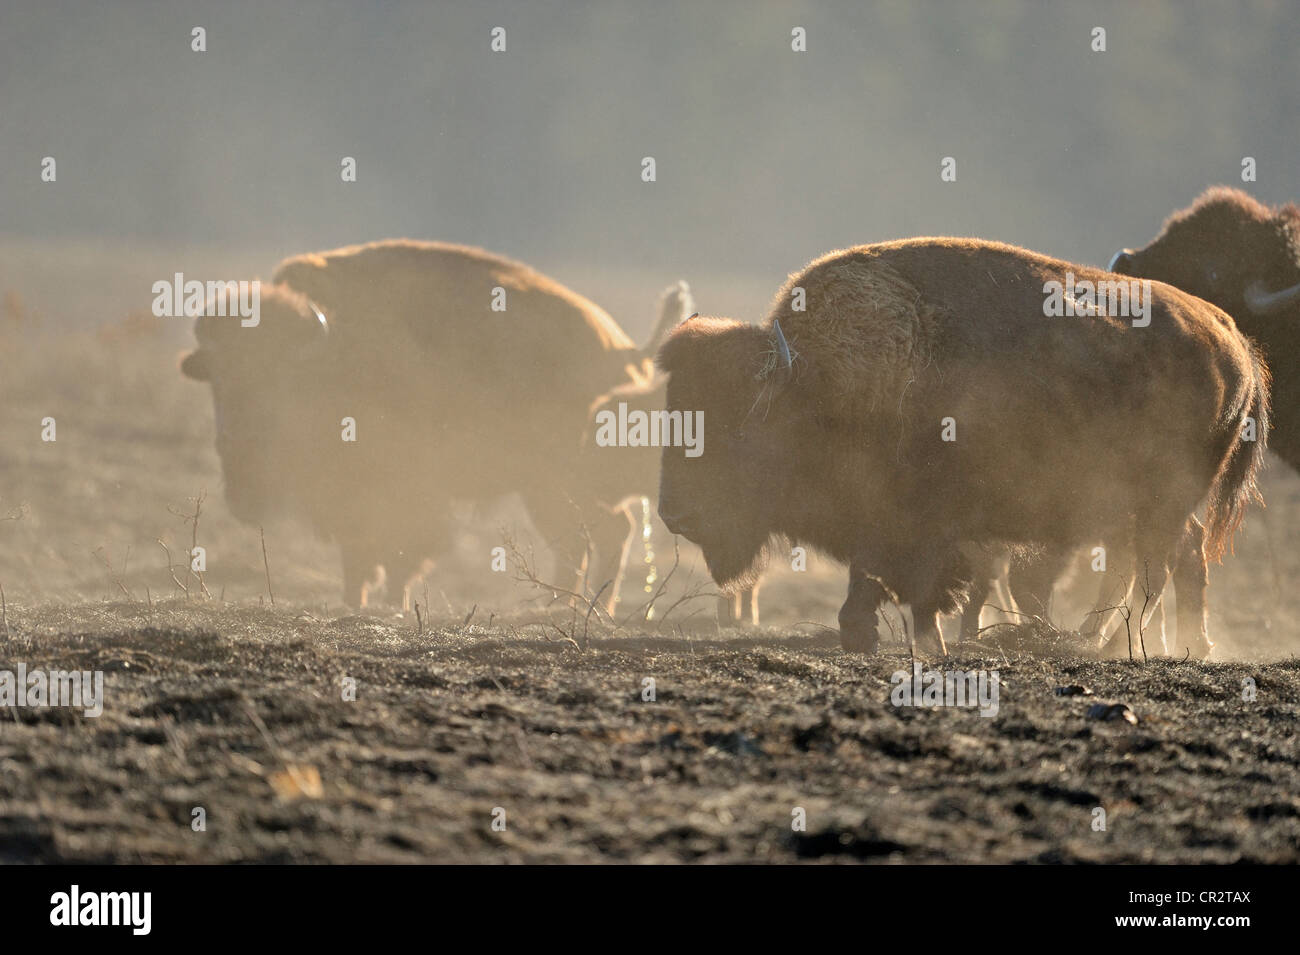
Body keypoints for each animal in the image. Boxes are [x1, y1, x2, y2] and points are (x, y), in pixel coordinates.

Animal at [182, 239, 688, 610]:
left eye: (280, 378)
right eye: (219, 382)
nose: (236, 446)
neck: (332, 356)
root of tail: (622, 347)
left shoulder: (401, 491)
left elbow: (398, 548)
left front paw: (392, 603)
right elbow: (358, 554)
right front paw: (357, 602)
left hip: (556, 482)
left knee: (602, 532)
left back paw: (579, 609)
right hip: (546, 487)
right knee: (591, 535)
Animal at [656, 238, 1269, 657]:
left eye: (739, 428)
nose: (673, 515)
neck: (815, 384)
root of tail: (1232, 338)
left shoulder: (917, 524)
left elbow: (903, 577)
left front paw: (908, 637)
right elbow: (882, 576)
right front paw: (870, 634)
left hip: (1162, 500)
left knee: (1155, 566)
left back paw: (1114, 644)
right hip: (1142, 505)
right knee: (1165, 559)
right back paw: (1129, 641)